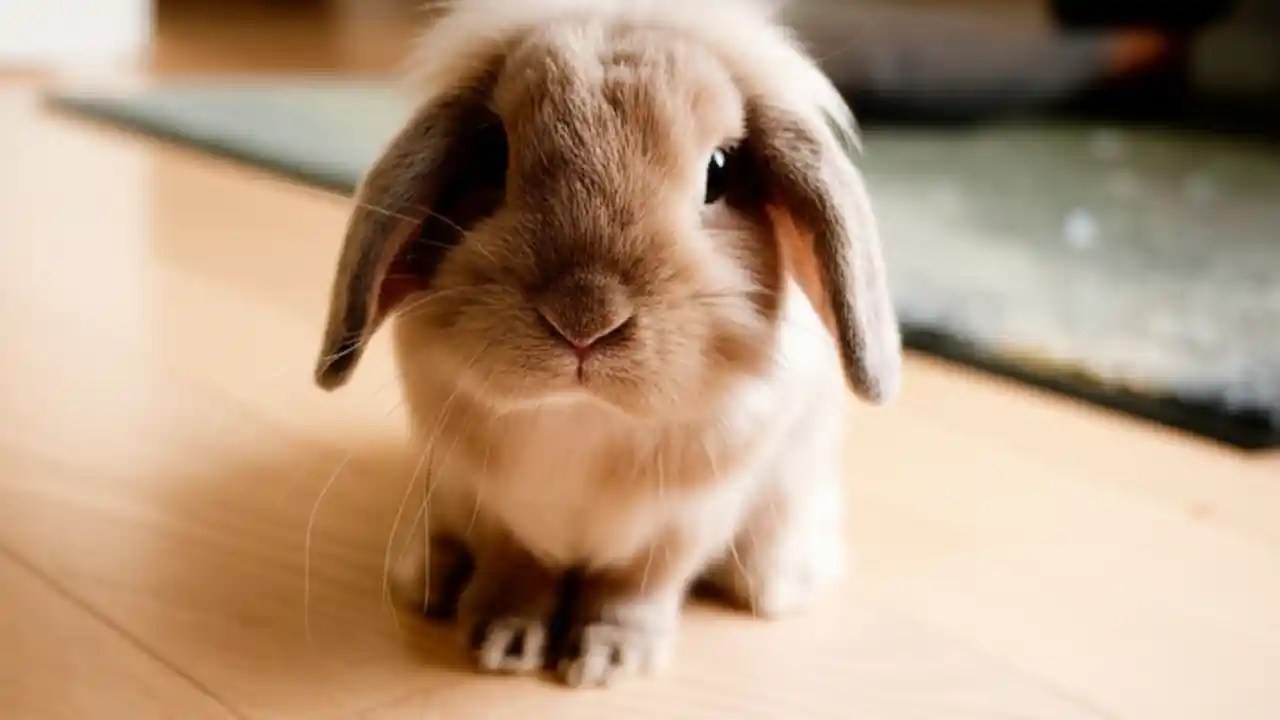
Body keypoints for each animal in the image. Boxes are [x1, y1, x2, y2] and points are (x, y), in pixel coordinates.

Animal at [314, 0, 900, 688]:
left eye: (720, 172)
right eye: (492, 156)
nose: (586, 317)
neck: (582, 419)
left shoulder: (681, 525)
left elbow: (633, 589)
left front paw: (607, 661)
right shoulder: (497, 511)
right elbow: (518, 570)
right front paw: (501, 644)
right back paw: (427, 578)